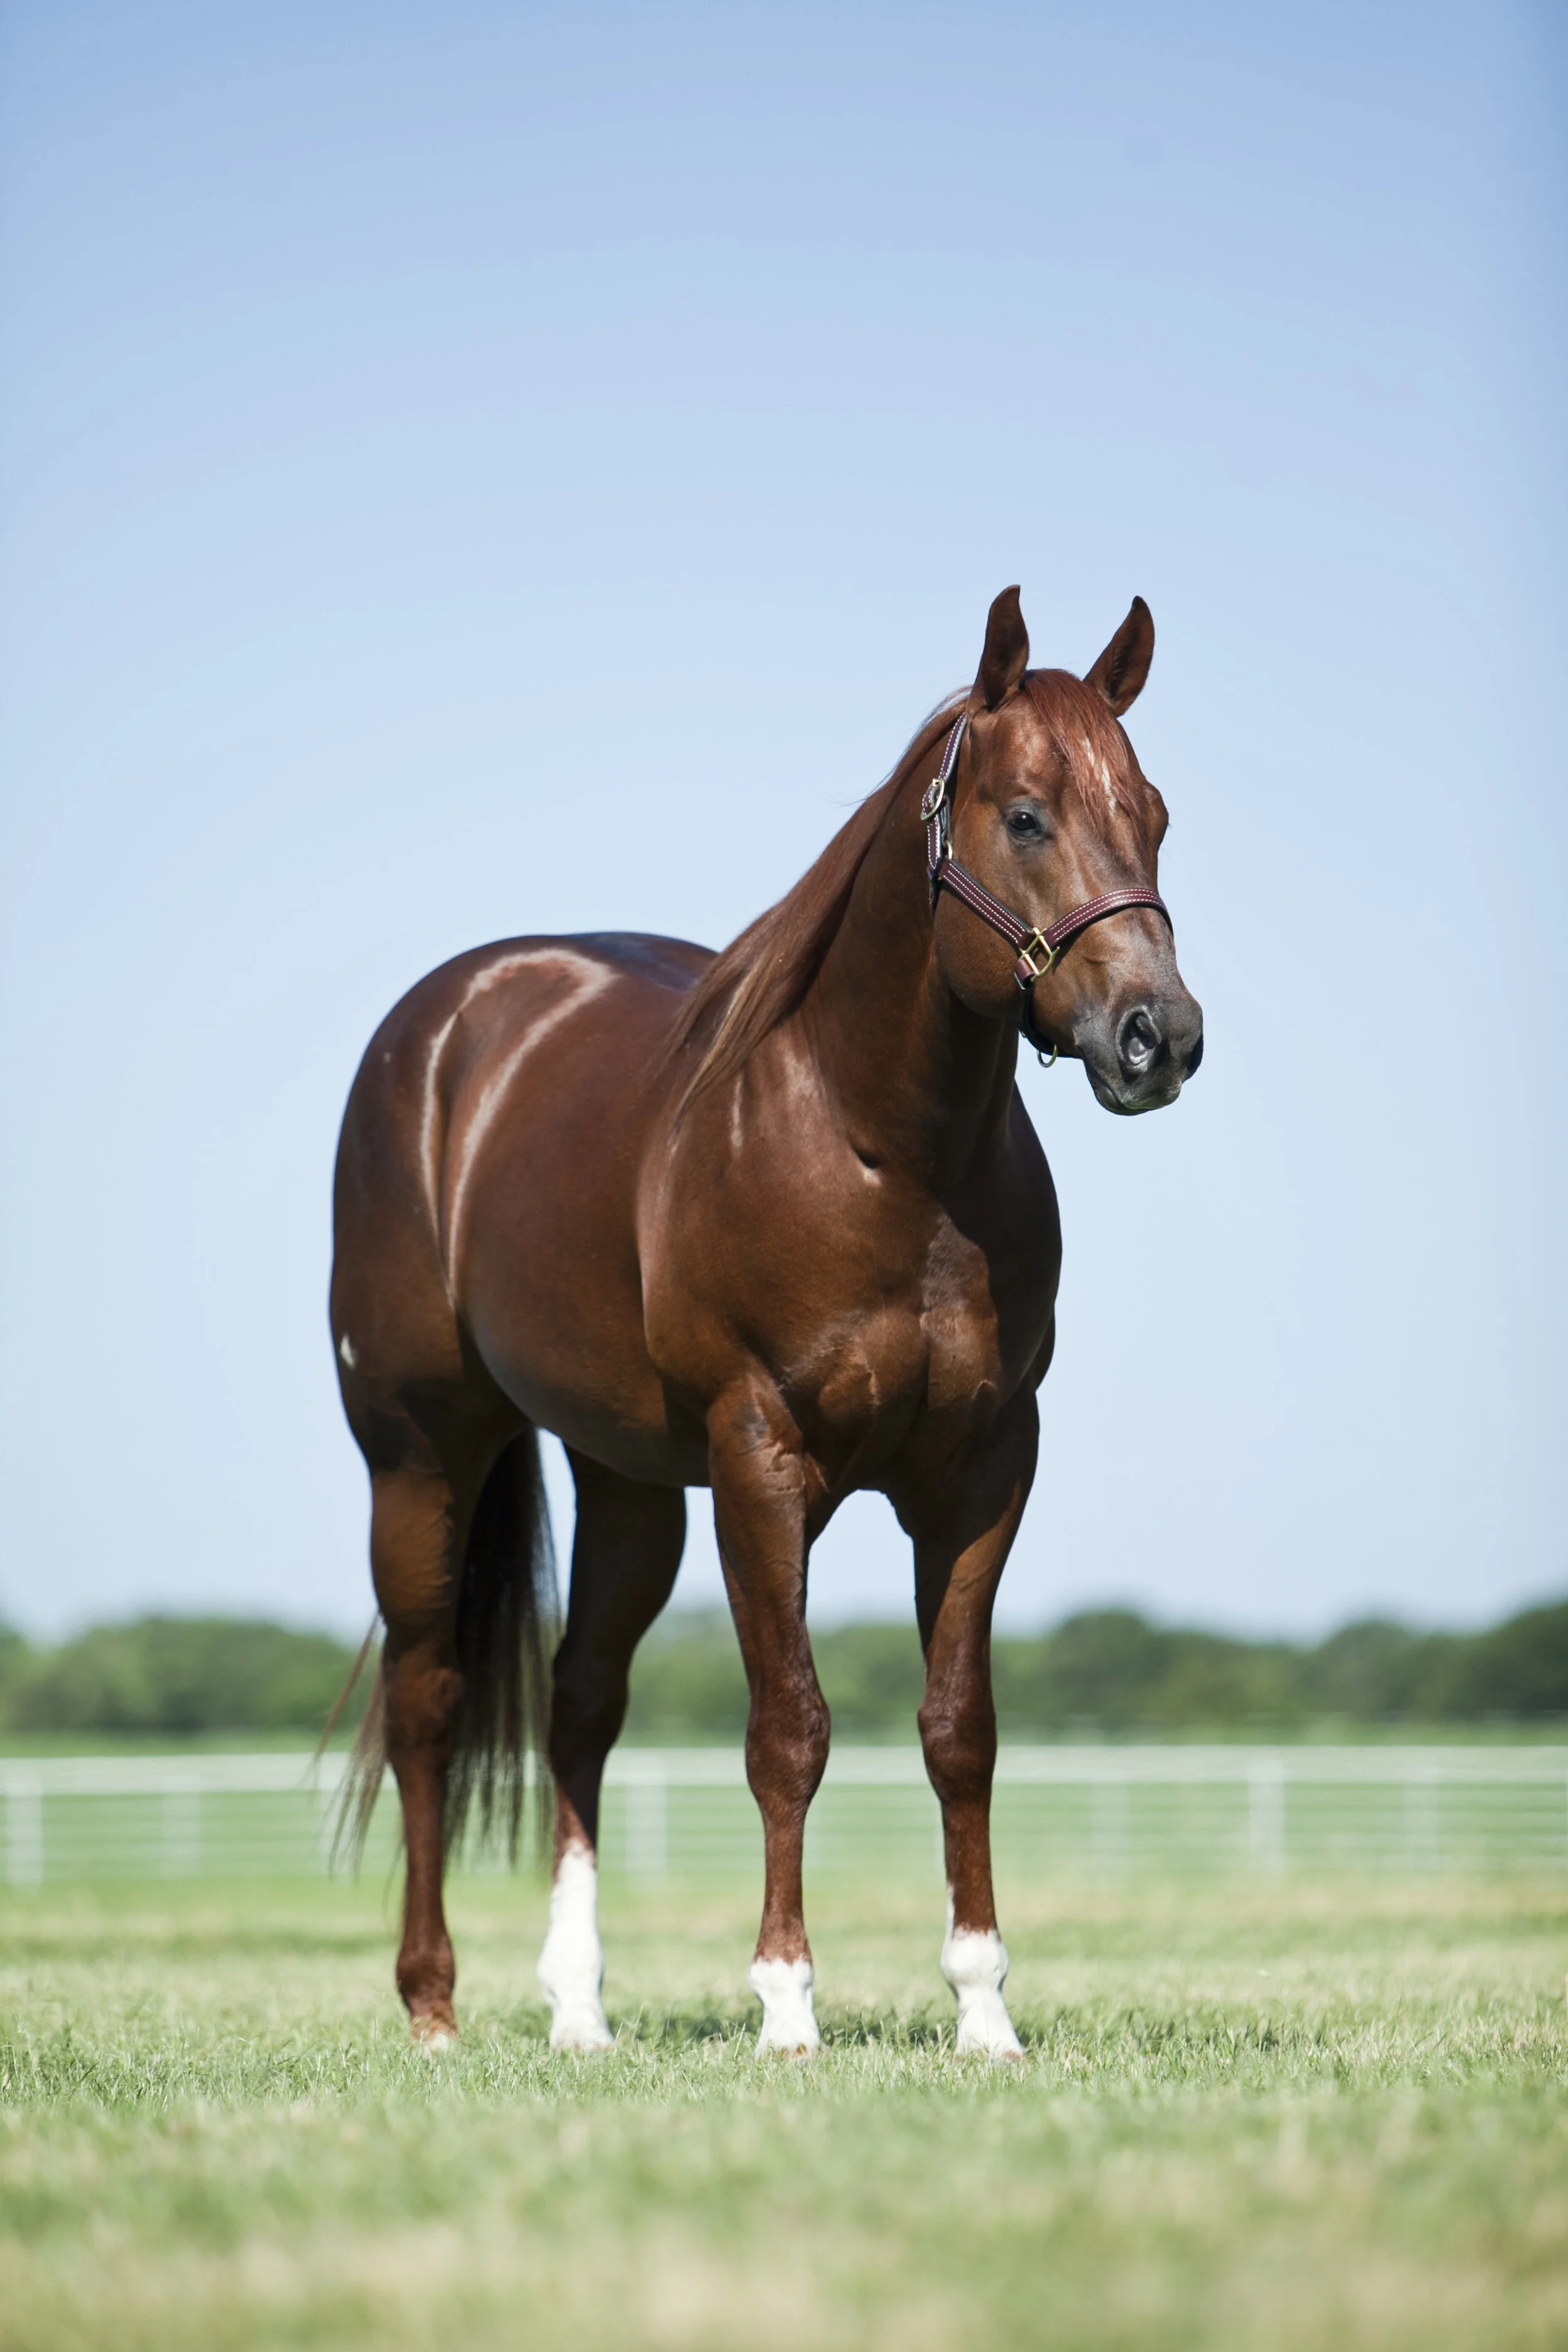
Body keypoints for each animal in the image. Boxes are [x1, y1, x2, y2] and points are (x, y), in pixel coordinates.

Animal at [329, 585, 1202, 2058]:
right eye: (1026, 814)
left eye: (1154, 812)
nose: (1161, 1037)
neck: (876, 1147)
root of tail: (445, 1027)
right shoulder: (760, 1459)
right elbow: (787, 1727)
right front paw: (787, 2007)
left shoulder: (981, 1471)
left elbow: (959, 1729)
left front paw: (983, 2013)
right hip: (422, 1454)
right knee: (429, 1702)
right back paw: (432, 2007)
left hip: (626, 1482)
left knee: (580, 1705)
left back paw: (578, 2011)